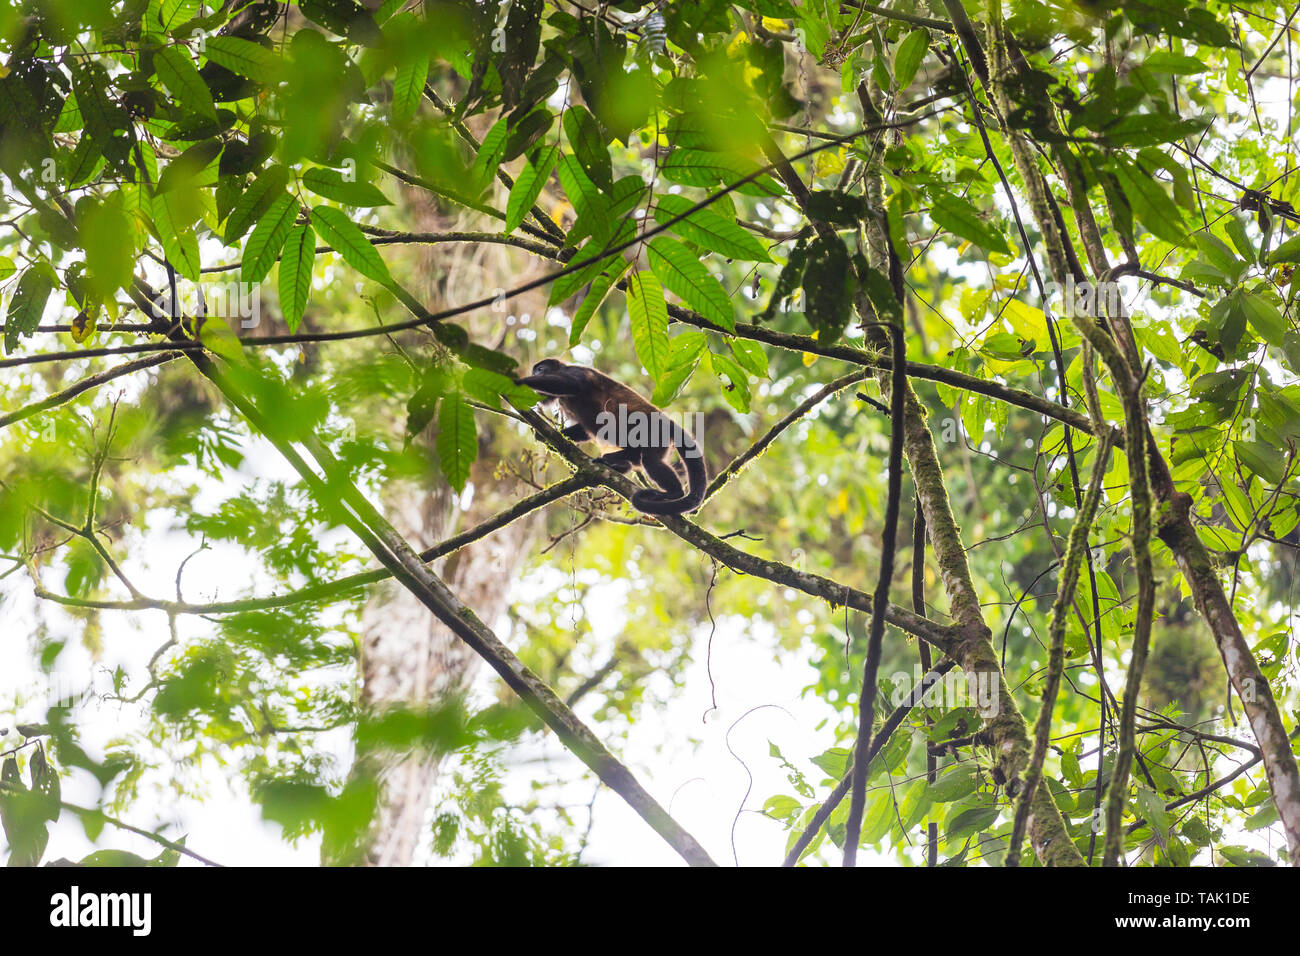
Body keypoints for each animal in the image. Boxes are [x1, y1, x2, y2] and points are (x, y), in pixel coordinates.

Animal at [516, 360, 706, 515]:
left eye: (540, 369)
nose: (535, 374)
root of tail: (668, 422)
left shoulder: (574, 371)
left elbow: (572, 385)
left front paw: (517, 381)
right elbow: (585, 429)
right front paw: (548, 437)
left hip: (656, 434)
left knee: (651, 461)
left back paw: (674, 492)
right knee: (633, 458)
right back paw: (616, 464)